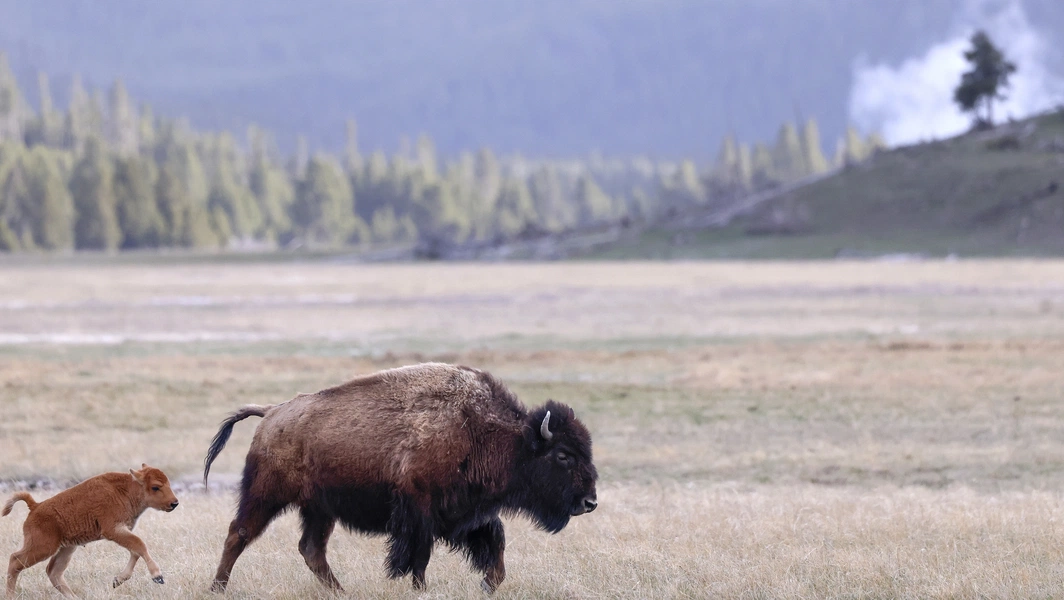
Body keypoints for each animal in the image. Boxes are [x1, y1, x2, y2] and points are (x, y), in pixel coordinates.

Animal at [203, 362, 598, 593]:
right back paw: (217, 588)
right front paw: (421, 589)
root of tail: (271, 413)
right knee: (239, 533)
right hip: (266, 494)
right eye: (563, 455)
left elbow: (495, 546)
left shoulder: (470, 513)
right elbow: (419, 557)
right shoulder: (419, 511)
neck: (480, 430)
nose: (590, 501)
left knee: (311, 549)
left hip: (319, 509)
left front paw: (488, 585)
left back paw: (341, 592)